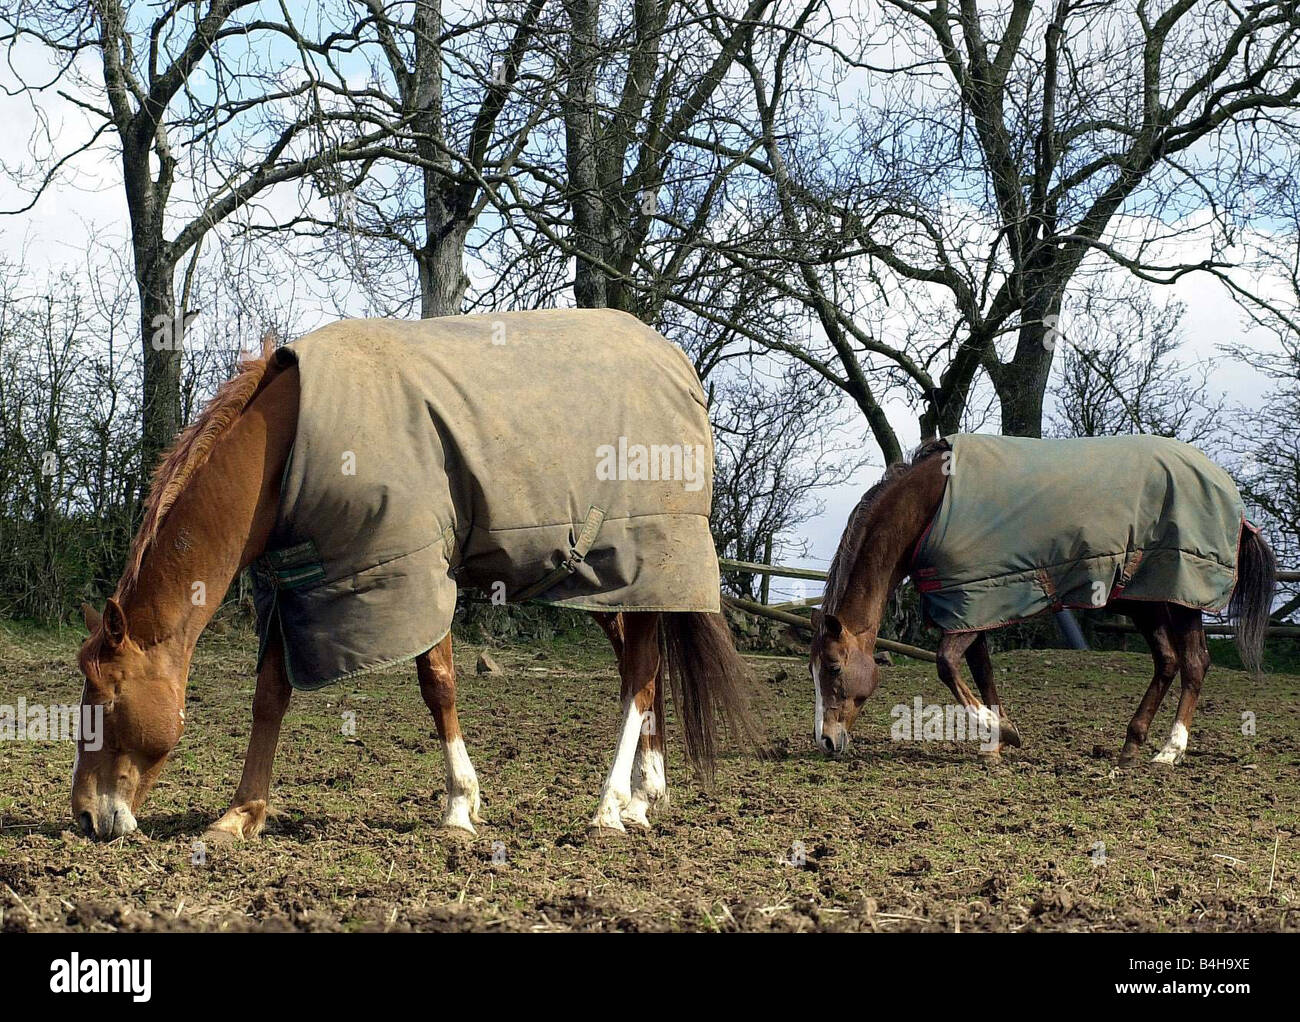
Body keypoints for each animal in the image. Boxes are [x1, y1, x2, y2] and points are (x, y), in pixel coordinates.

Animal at [73, 311, 757, 842]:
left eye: (106, 699)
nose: (84, 816)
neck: (288, 441)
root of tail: (679, 366)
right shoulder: (296, 591)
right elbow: (270, 695)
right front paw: (240, 815)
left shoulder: (415, 569)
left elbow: (438, 686)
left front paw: (460, 806)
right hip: (616, 583)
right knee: (645, 671)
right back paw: (644, 799)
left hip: (642, 562)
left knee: (639, 675)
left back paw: (611, 807)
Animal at [810, 436, 1276, 767]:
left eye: (832, 667)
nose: (826, 741)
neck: (933, 506)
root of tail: (1226, 489)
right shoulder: (971, 606)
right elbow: (981, 674)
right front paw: (995, 741)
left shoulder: (971, 604)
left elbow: (946, 667)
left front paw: (1003, 733)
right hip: (1145, 597)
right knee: (1168, 661)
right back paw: (1130, 745)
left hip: (1182, 596)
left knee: (1194, 663)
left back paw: (1170, 750)